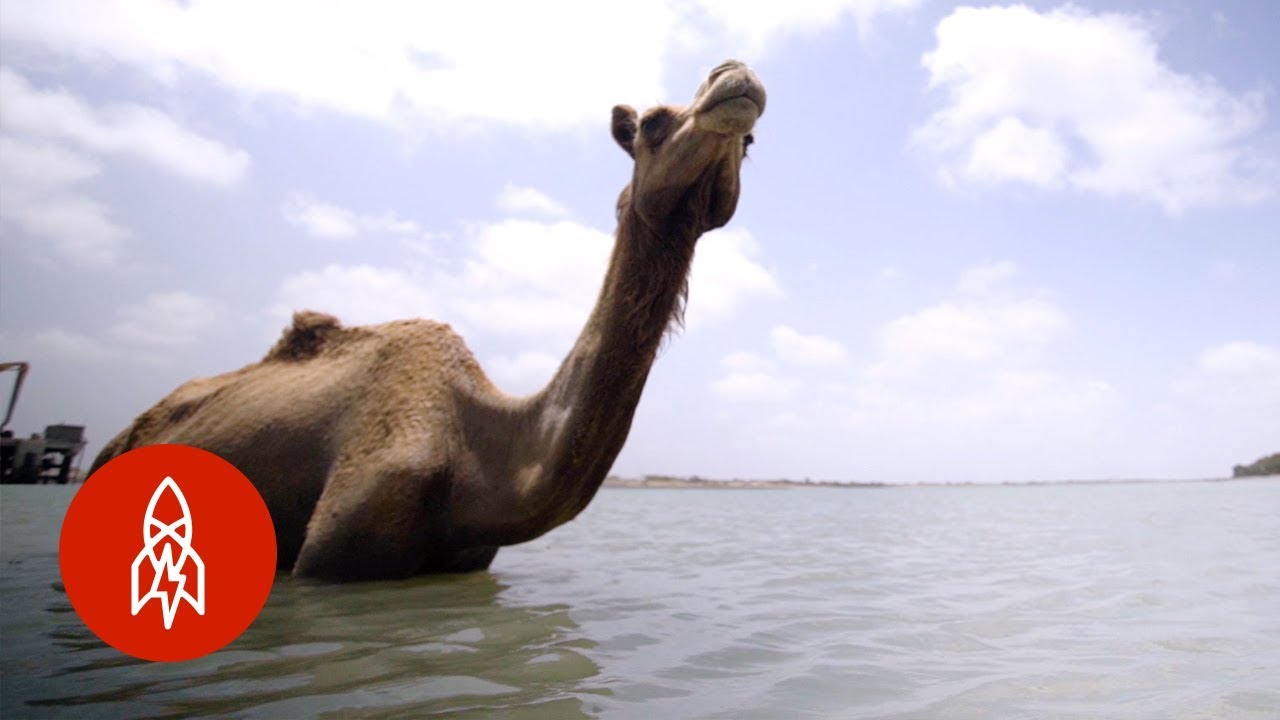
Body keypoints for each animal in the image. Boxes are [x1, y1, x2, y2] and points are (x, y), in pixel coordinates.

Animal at [91, 60, 766, 581]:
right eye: (651, 123)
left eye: (751, 145)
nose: (735, 74)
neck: (484, 463)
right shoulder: (326, 559)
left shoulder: (468, 561)